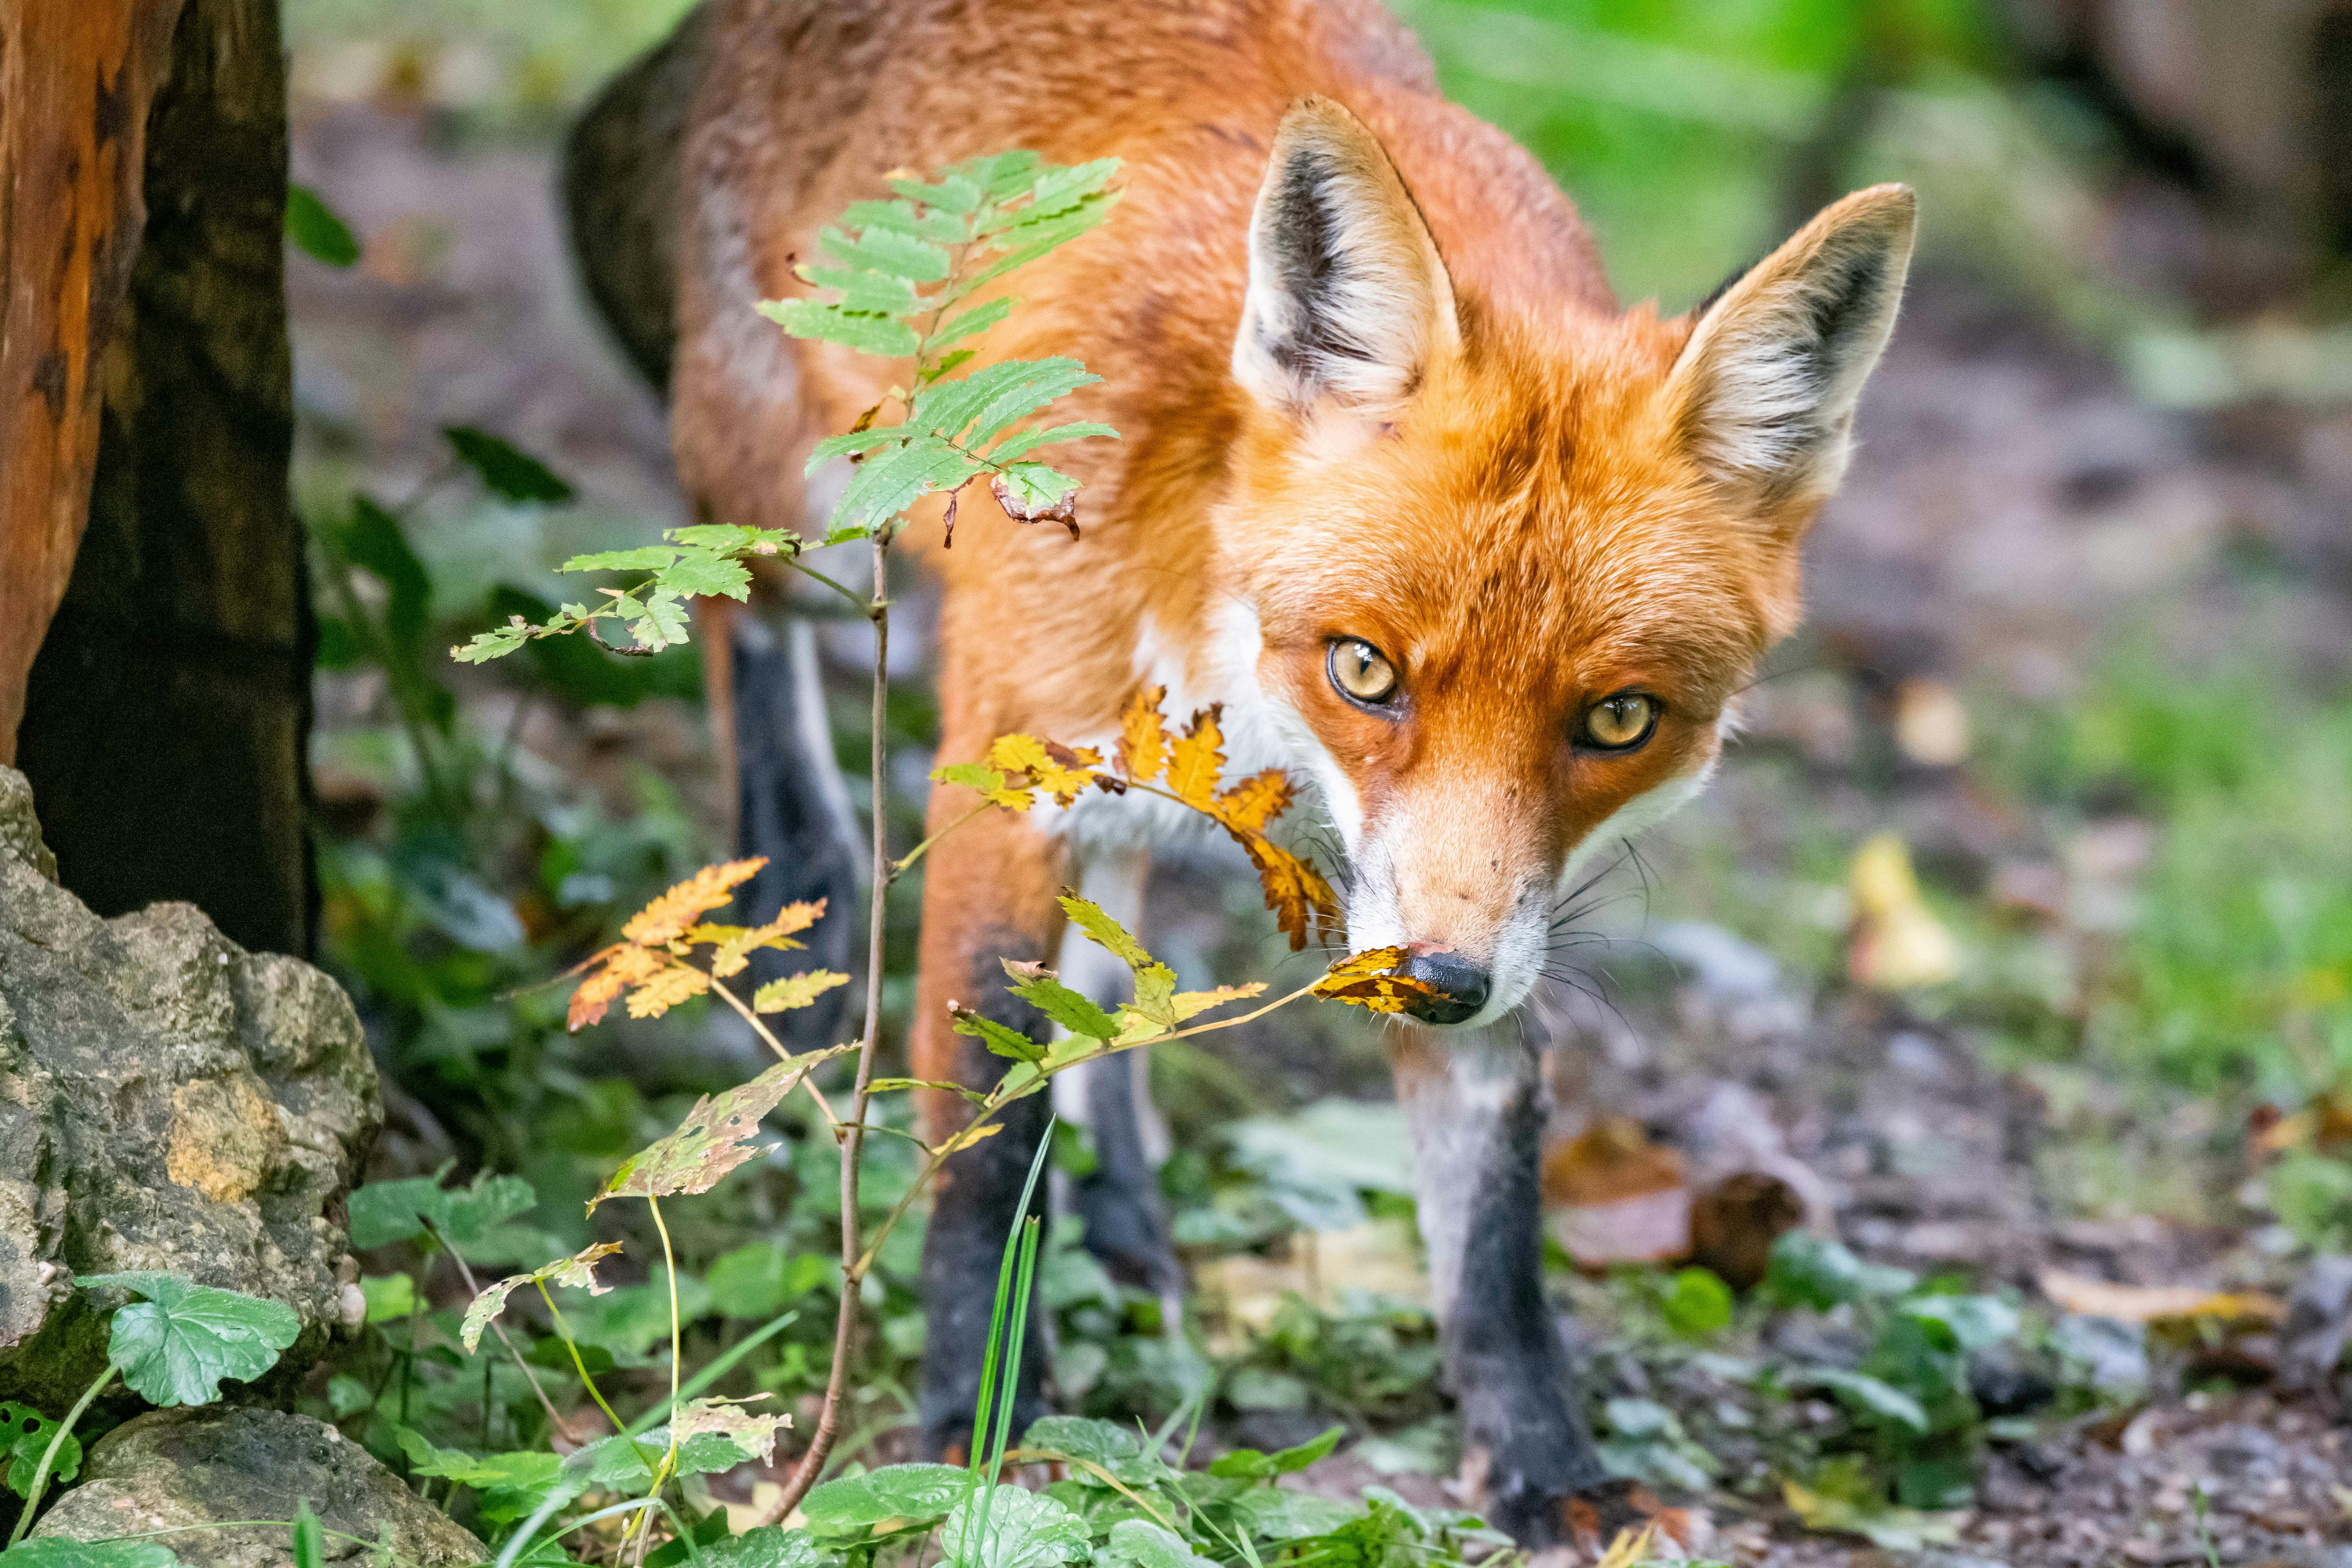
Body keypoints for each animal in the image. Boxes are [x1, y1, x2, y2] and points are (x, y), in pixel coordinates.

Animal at [565, 0, 1915, 1548]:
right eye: (1367, 671)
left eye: (1619, 721)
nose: (1437, 988)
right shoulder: (1010, 777)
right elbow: (978, 1128)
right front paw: (979, 1426)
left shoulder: (1463, 903)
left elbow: (1490, 1217)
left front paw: (1541, 1468)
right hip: (806, 509)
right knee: (720, 590)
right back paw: (799, 863)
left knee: (1111, 952)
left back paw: (1116, 1213)